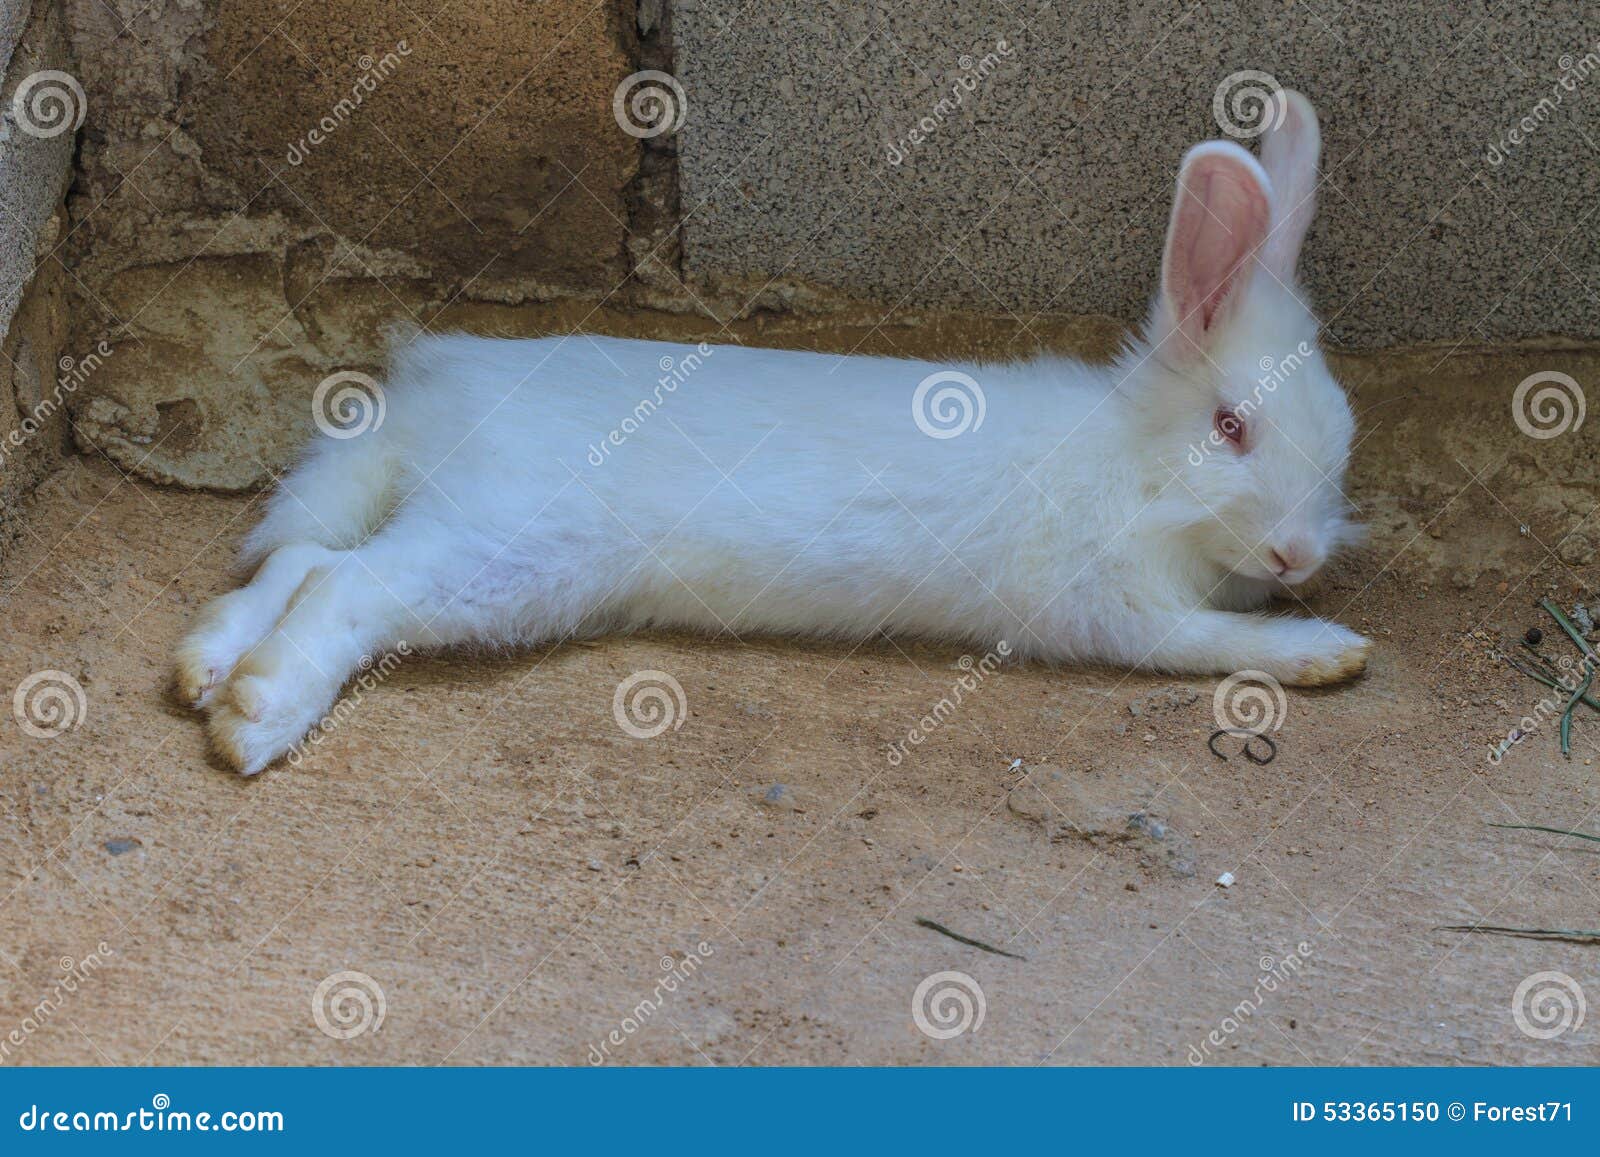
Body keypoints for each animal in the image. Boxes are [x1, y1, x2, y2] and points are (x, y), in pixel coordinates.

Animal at [176, 89, 1368, 775]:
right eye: (1231, 425)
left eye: (1344, 427)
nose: (1298, 553)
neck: (1137, 468)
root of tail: (436, 402)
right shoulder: (1116, 606)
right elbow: (1210, 643)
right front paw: (1328, 652)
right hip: (512, 546)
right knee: (345, 583)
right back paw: (255, 719)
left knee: (301, 559)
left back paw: (205, 672)